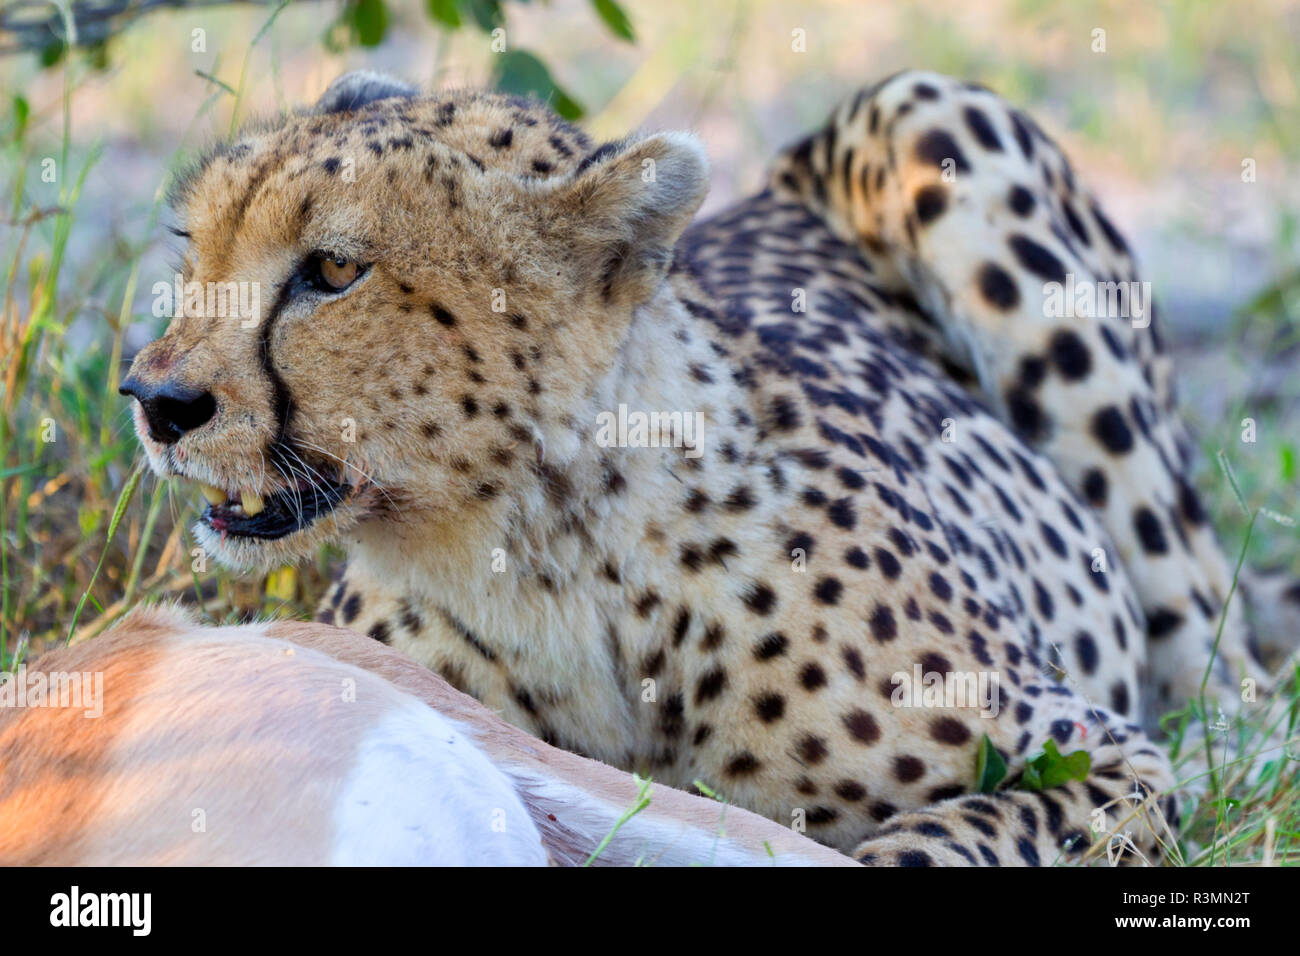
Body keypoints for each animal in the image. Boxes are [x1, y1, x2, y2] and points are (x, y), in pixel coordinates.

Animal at [122, 68, 1300, 865]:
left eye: (331, 271)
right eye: (194, 249)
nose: (154, 401)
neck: (544, 553)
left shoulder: (1111, 758)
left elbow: (938, 835)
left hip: (929, 113)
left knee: (1238, 710)